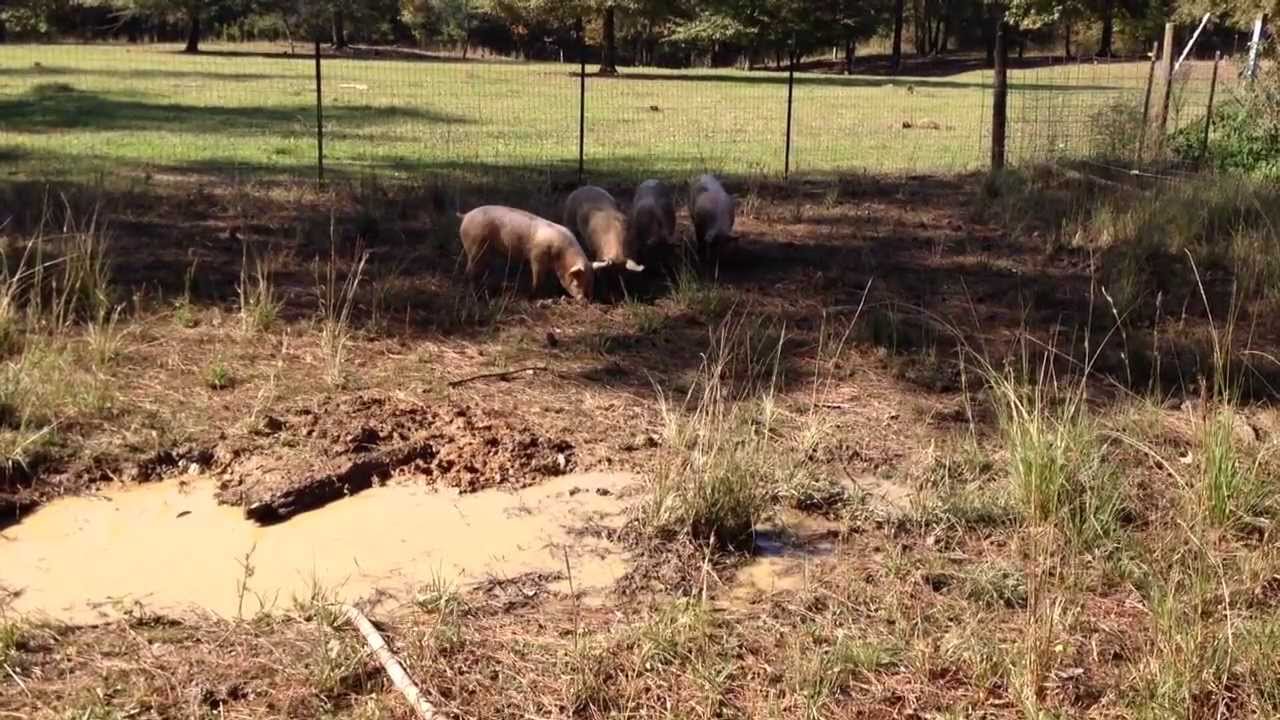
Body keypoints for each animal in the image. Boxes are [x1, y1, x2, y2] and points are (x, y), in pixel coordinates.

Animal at [459, 205, 594, 301]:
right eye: (576, 282)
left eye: (589, 282)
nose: (583, 300)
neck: (561, 256)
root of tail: (466, 215)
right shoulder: (537, 255)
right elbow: (537, 275)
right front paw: (535, 293)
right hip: (474, 244)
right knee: (469, 269)